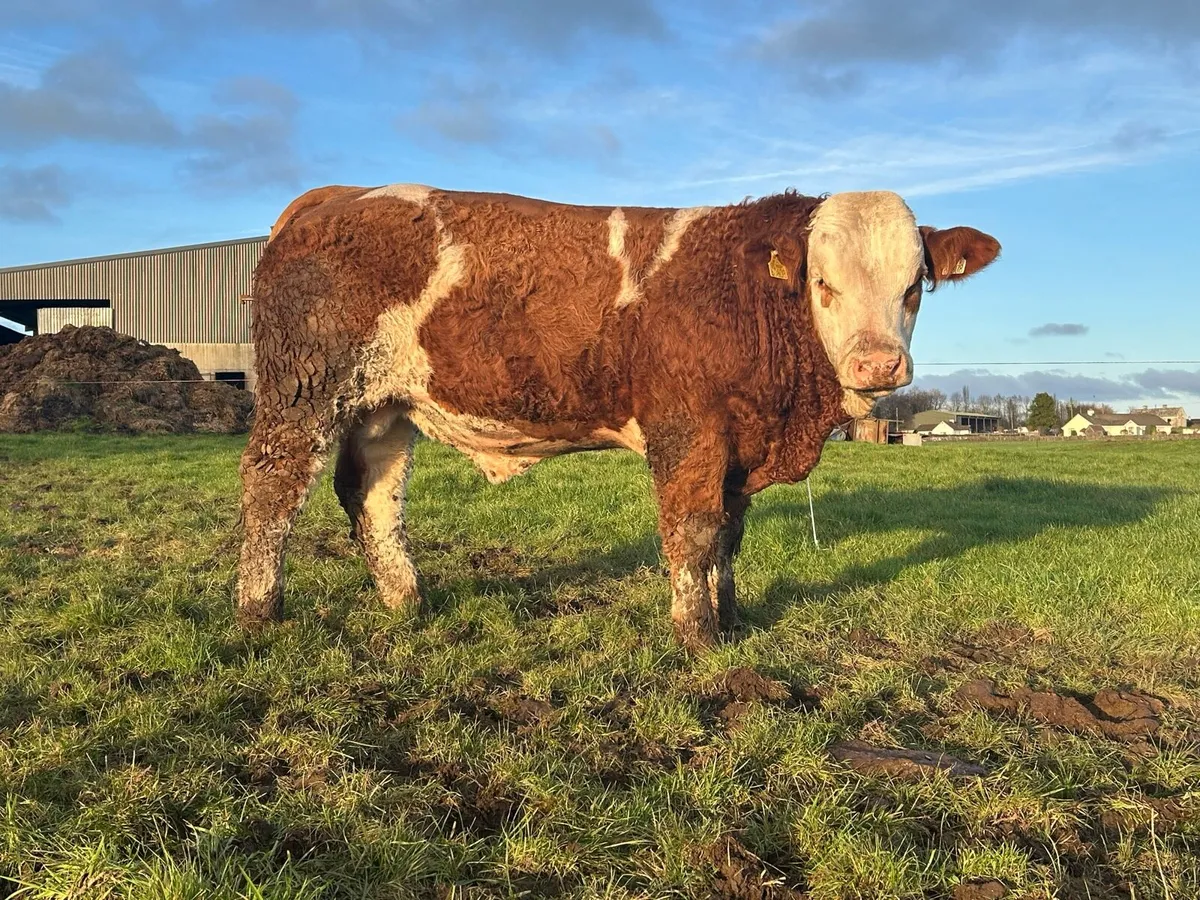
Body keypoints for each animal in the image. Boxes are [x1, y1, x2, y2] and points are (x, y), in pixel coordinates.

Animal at [237, 185, 1000, 650]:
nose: (877, 365)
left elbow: (728, 537)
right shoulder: (690, 431)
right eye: (823, 282)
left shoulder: (737, 448)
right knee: (272, 490)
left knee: (373, 496)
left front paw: (730, 619)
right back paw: (259, 612)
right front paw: (697, 637)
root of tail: (335, 195)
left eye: (915, 285)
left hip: (386, 407)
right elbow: (692, 534)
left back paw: (405, 602)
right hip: (304, 393)